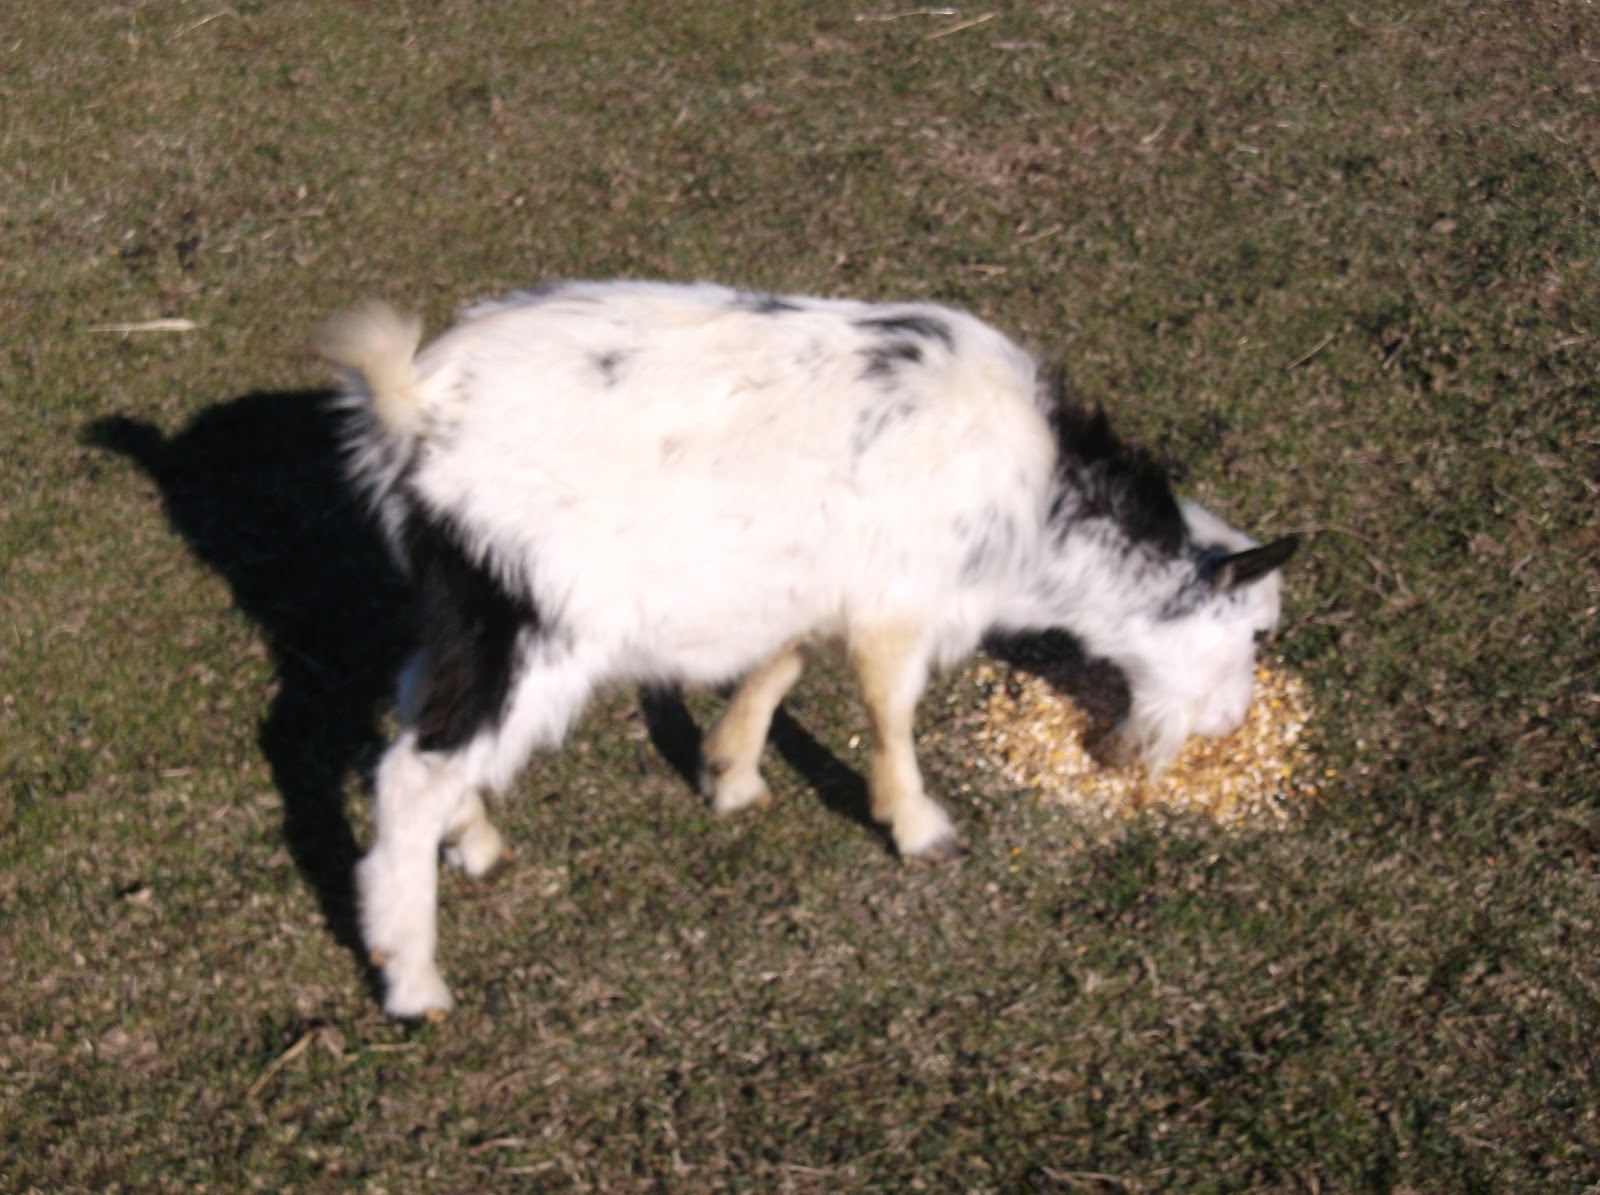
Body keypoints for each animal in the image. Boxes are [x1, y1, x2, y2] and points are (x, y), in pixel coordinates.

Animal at [313, 280, 1297, 1018]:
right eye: (1255, 628)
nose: (1232, 722)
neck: (1034, 504)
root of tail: (415, 408)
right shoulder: (900, 600)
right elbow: (890, 708)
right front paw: (919, 826)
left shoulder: (826, 586)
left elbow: (780, 663)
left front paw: (730, 772)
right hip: (530, 617)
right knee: (414, 773)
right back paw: (413, 978)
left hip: (466, 615)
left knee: (419, 714)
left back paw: (474, 843)